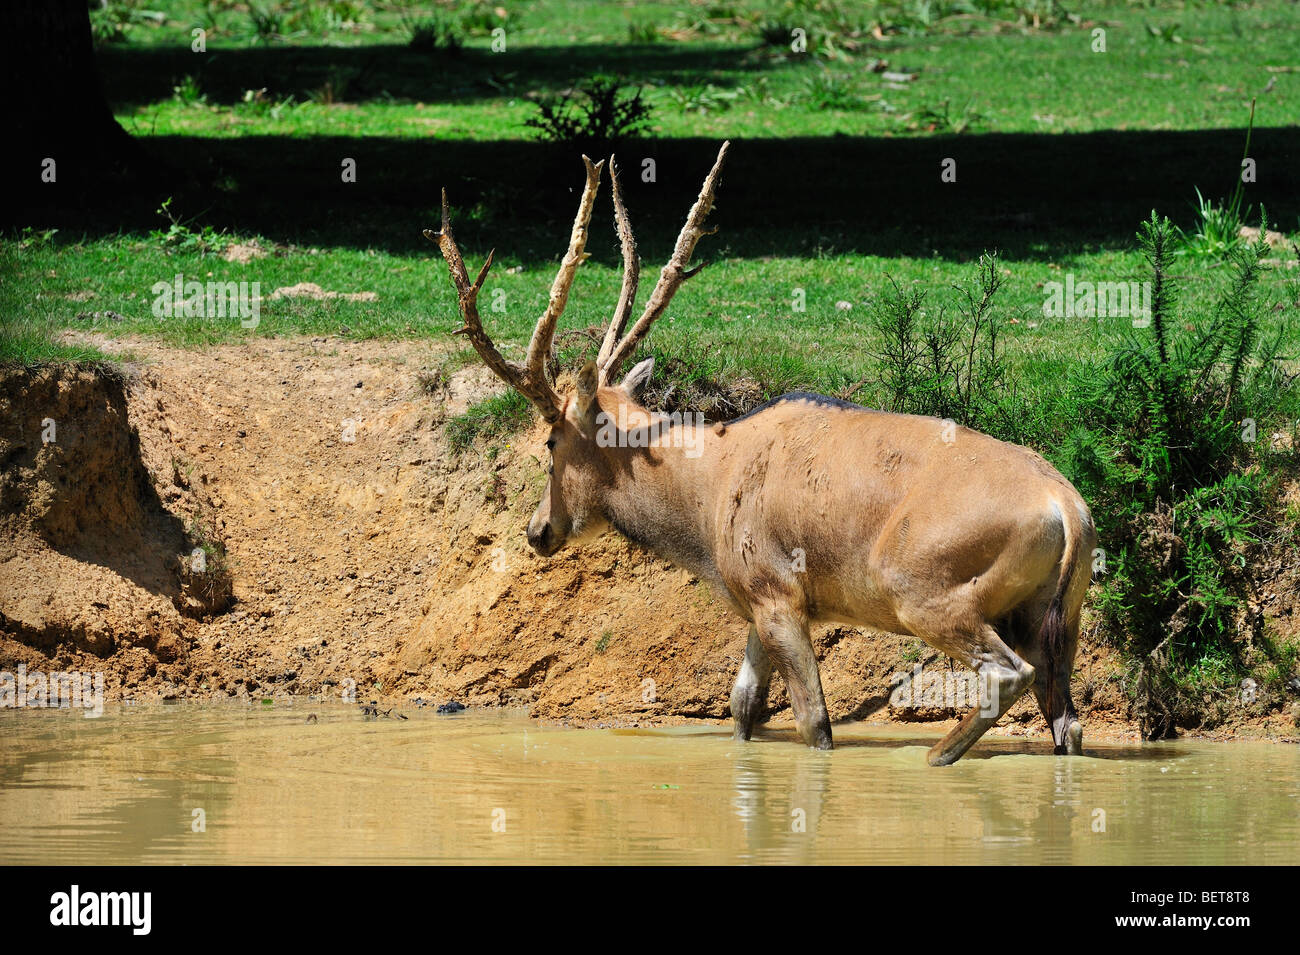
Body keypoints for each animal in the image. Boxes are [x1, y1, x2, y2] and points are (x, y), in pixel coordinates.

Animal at [425, 142, 1096, 765]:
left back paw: (936, 754)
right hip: (1055, 614)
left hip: (926, 590)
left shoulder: (777, 592)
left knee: (1007, 673)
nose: (538, 530)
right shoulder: (753, 603)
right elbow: (743, 705)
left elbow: (813, 721)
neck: (703, 509)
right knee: (1068, 722)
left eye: (549, 440)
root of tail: (1068, 508)